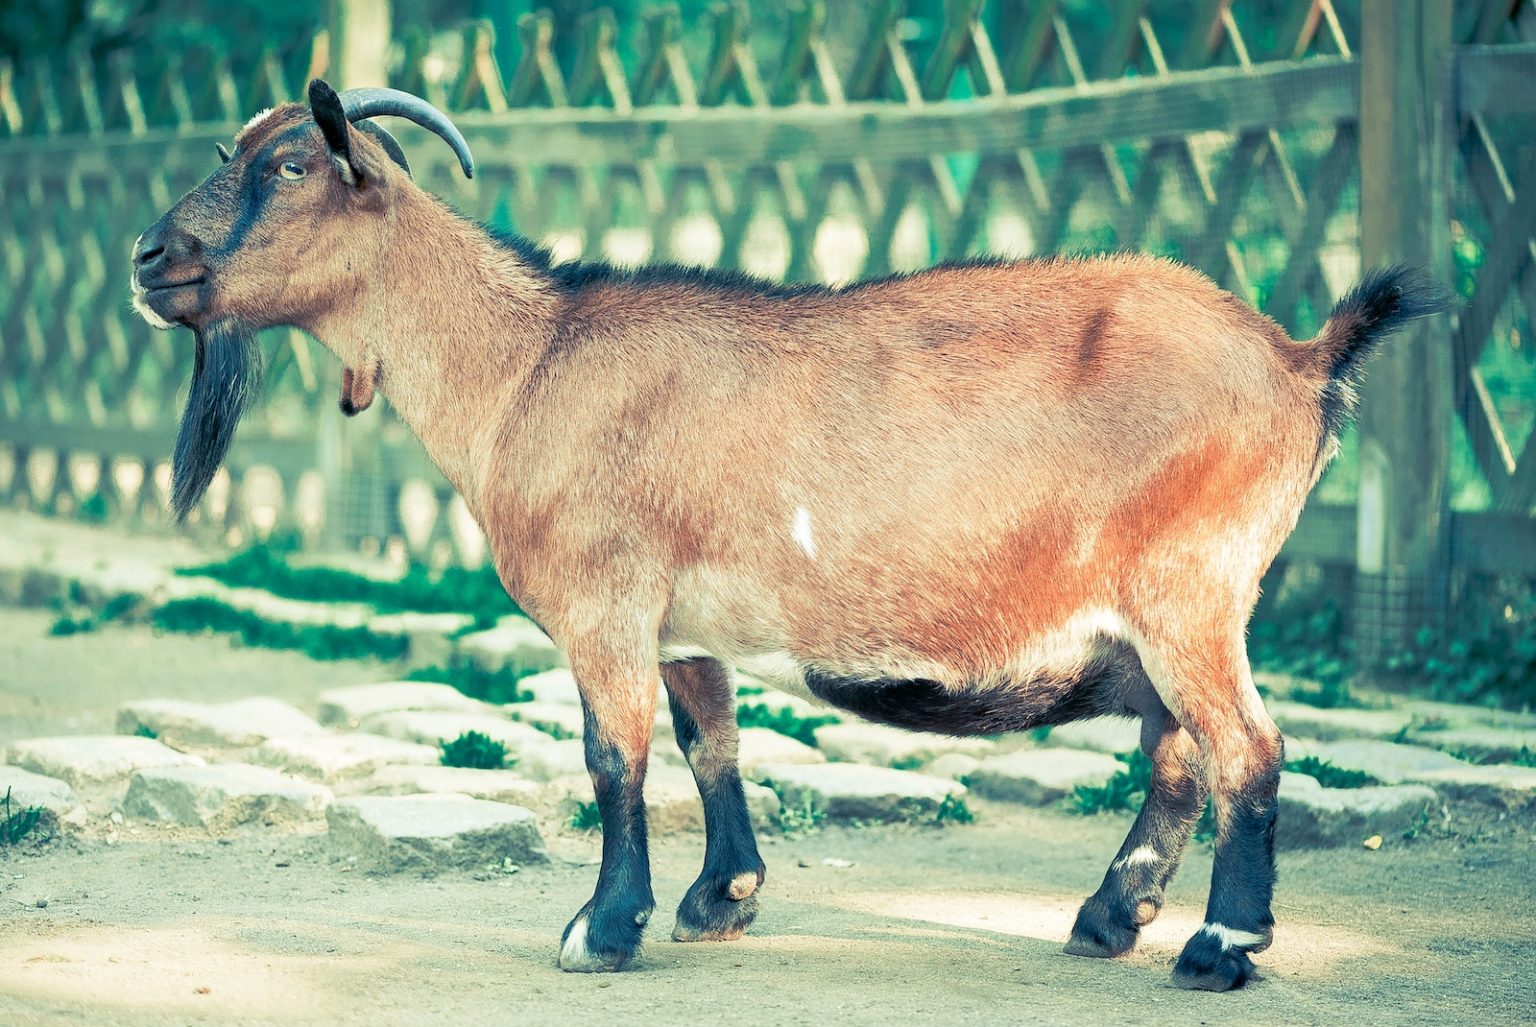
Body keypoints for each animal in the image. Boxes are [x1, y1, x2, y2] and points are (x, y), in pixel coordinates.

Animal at [130, 79, 1447, 990]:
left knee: (1247, 751)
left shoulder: (605, 602)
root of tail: (1300, 359)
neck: (527, 362)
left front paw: (601, 928)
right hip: (1166, 608)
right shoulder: (681, 620)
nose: (150, 257)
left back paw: (1219, 946)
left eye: (288, 162)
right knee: (1177, 751)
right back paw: (1106, 919)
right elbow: (711, 743)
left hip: (1192, 585)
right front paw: (721, 899)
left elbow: (614, 758)